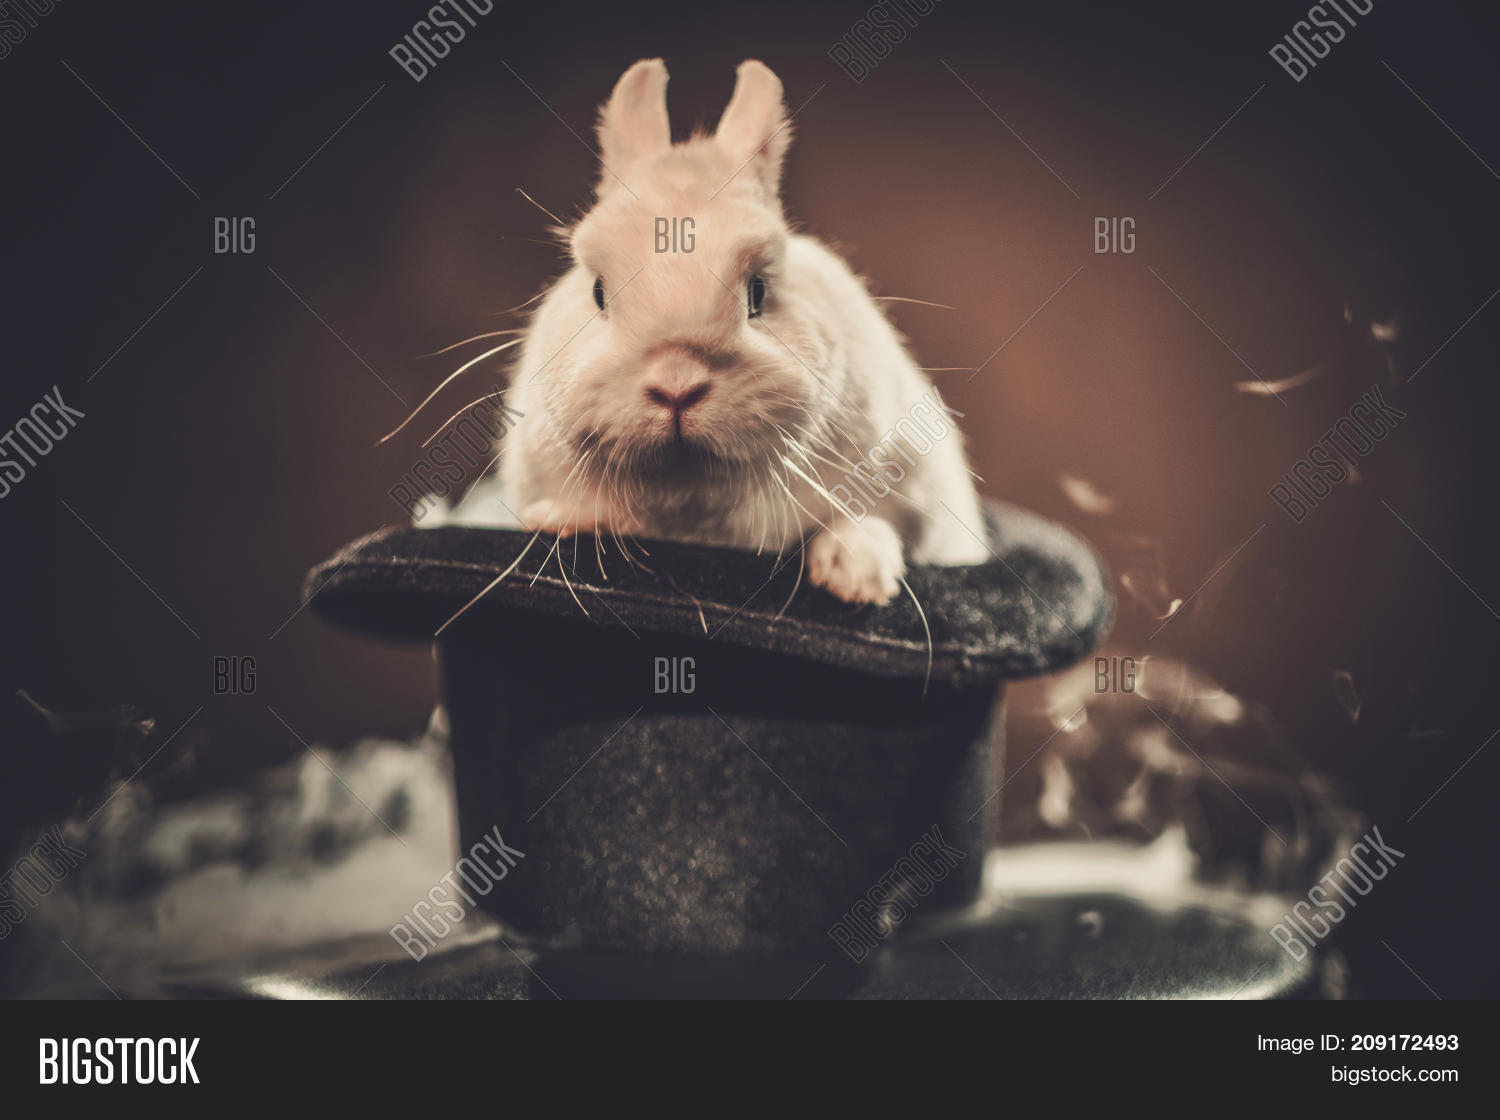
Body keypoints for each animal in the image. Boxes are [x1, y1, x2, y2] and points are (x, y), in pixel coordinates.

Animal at [496, 58, 988, 604]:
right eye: (599, 293)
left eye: (757, 292)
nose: (677, 386)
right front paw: (560, 520)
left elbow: (871, 520)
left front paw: (857, 577)